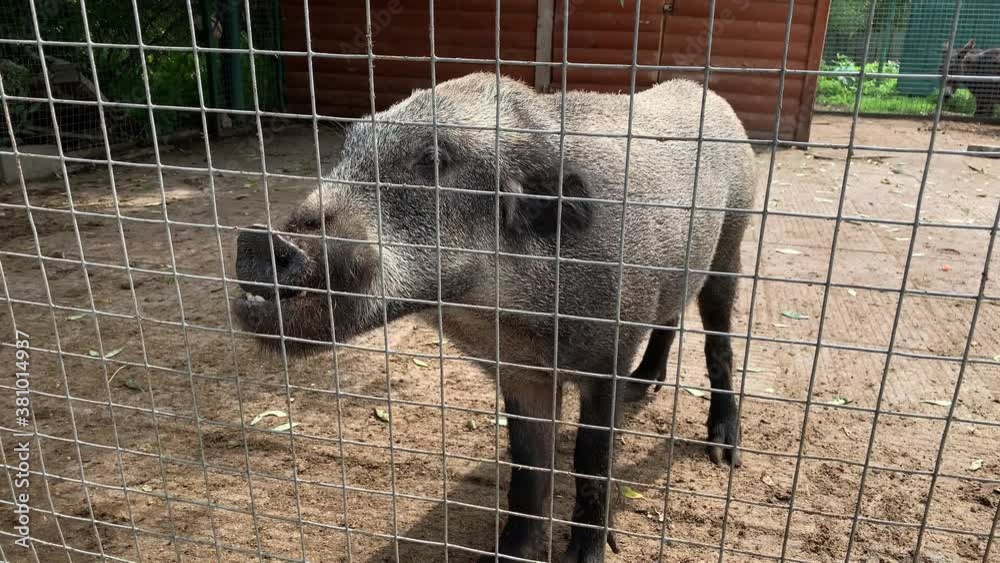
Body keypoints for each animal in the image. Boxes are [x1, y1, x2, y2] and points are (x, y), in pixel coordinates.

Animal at [233, 72, 756, 562]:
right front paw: (508, 553)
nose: (257, 238)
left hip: (732, 239)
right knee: (671, 318)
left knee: (718, 337)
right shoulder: (521, 378)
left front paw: (585, 555)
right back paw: (641, 386)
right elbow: (526, 471)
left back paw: (722, 452)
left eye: (434, 160)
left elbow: (591, 460)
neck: (507, 322)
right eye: (350, 148)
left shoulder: (607, 353)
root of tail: (709, 95)